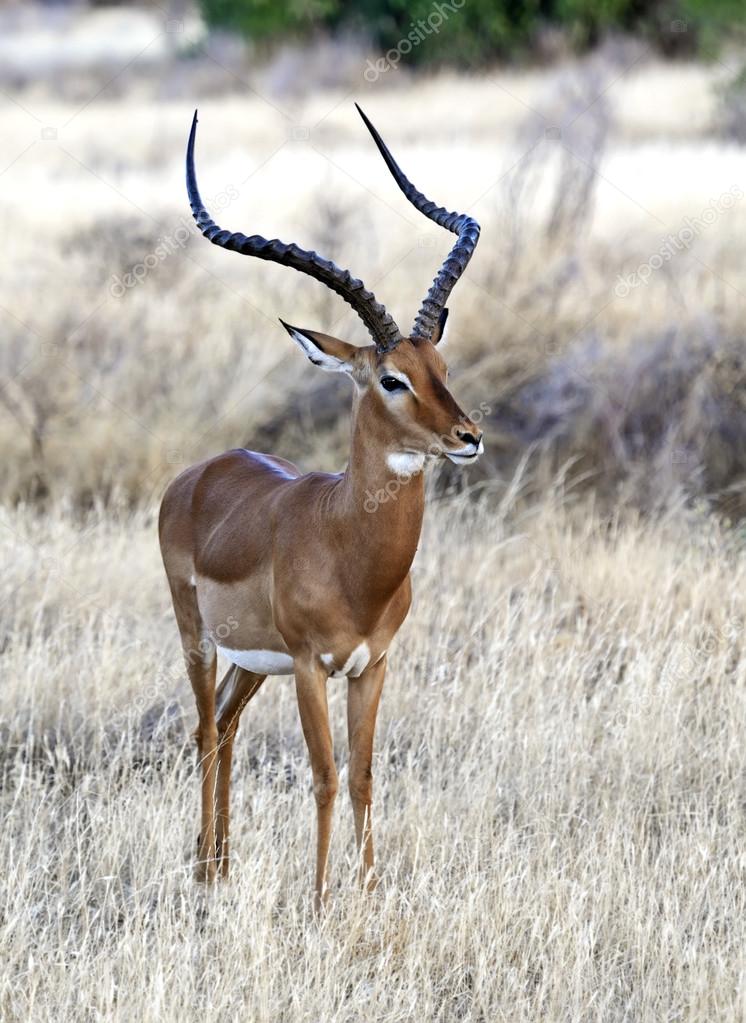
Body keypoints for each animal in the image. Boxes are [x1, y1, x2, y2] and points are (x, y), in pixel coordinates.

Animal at [159, 105, 483, 909]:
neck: (349, 548)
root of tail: (200, 471)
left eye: (442, 366)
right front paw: (320, 898)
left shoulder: (373, 666)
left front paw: (365, 891)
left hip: (252, 661)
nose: (468, 437)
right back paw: (203, 871)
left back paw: (222, 865)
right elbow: (326, 775)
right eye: (392, 379)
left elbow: (364, 775)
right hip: (198, 637)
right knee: (203, 728)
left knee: (227, 725)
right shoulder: (311, 666)